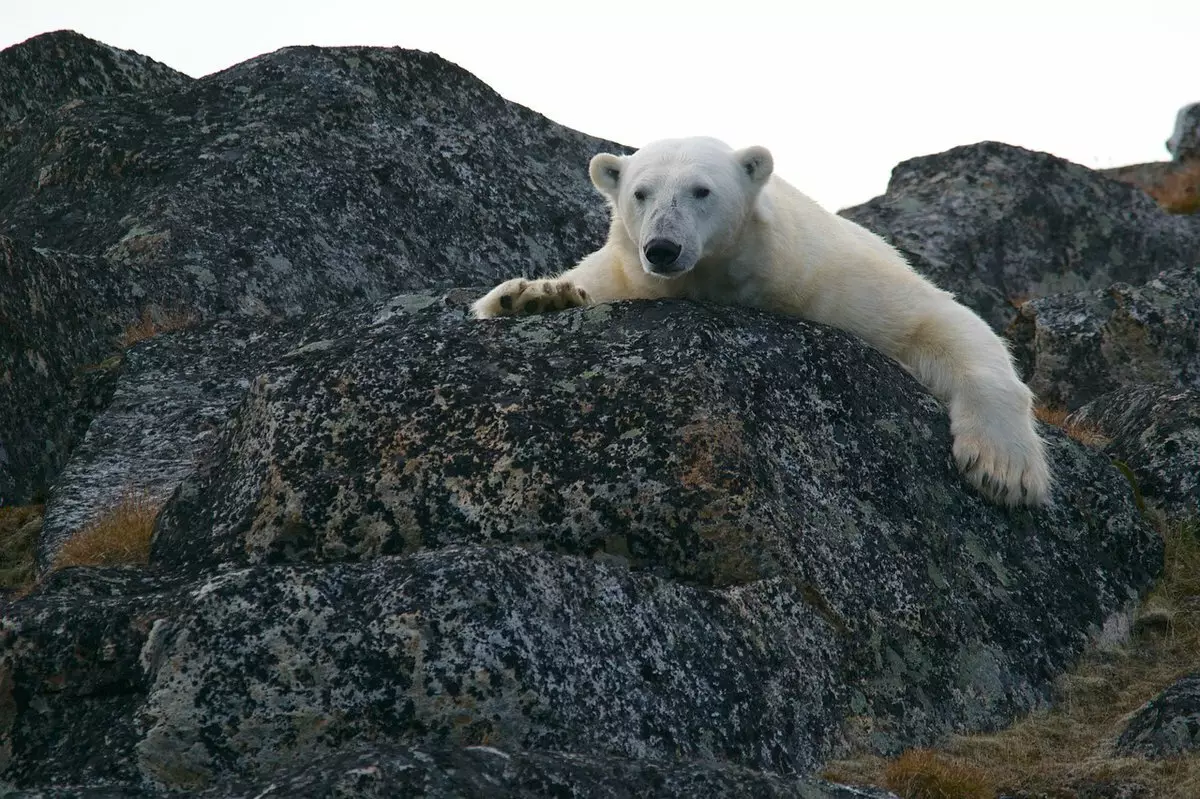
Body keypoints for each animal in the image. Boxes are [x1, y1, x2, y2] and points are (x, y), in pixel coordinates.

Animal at [468, 136, 1051, 503]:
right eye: (640, 193)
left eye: (701, 190)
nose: (662, 248)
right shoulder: (626, 273)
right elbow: (580, 283)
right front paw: (533, 296)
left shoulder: (829, 277)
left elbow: (936, 321)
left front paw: (1004, 470)